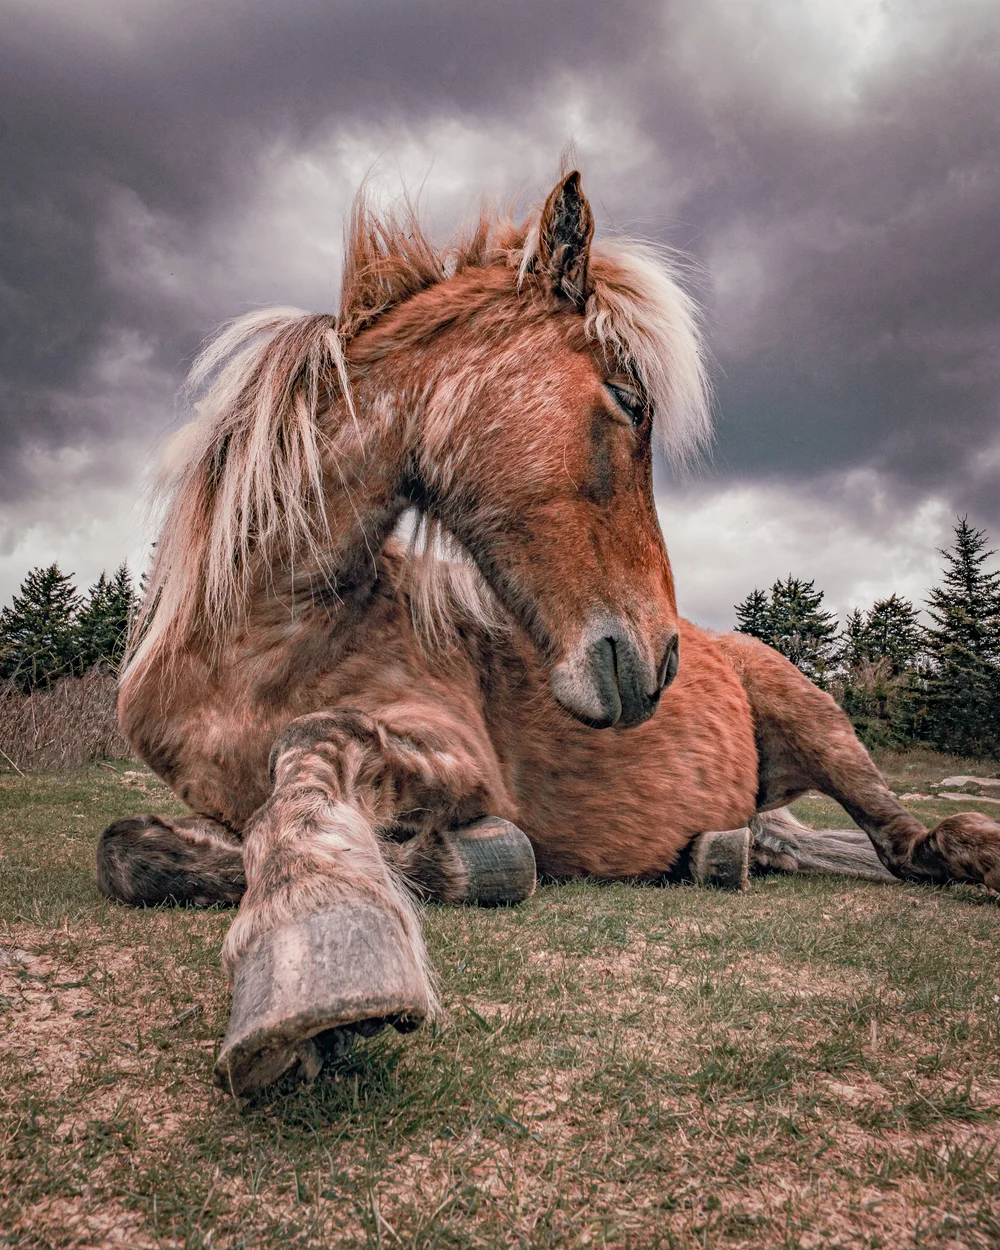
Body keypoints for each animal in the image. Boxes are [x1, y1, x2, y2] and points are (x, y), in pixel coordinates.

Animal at [98, 172, 1000, 1096]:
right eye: (629, 400)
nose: (662, 658)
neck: (259, 644)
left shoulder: (456, 756)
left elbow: (316, 739)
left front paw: (327, 937)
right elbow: (129, 849)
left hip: (823, 725)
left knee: (908, 842)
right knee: (792, 842)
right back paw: (720, 855)